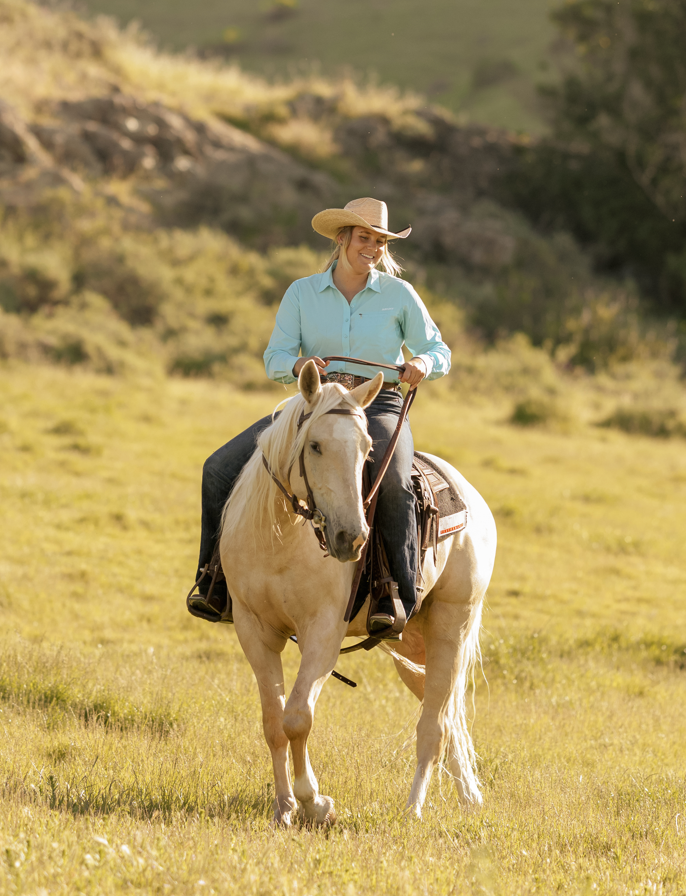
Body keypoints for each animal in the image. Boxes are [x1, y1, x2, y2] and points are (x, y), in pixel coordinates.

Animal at [219, 360, 497, 824]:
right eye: (314, 446)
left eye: (368, 447)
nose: (352, 538)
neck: (282, 537)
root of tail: (471, 496)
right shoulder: (253, 629)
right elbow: (273, 722)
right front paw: (283, 808)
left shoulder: (323, 633)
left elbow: (297, 718)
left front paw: (315, 803)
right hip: (415, 639)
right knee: (447, 710)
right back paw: (470, 797)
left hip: (453, 622)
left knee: (435, 724)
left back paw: (414, 809)